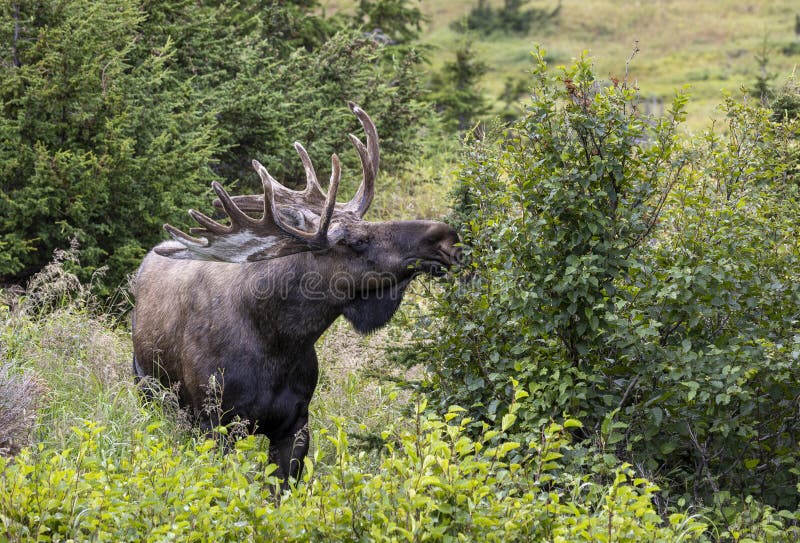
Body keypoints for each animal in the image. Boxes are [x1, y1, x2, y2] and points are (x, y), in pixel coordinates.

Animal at [131, 103, 460, 488]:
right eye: (357, 241)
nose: (446, 236)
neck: (279, 341)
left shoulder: (296, 423)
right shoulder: (216, 423)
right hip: (151, 394)